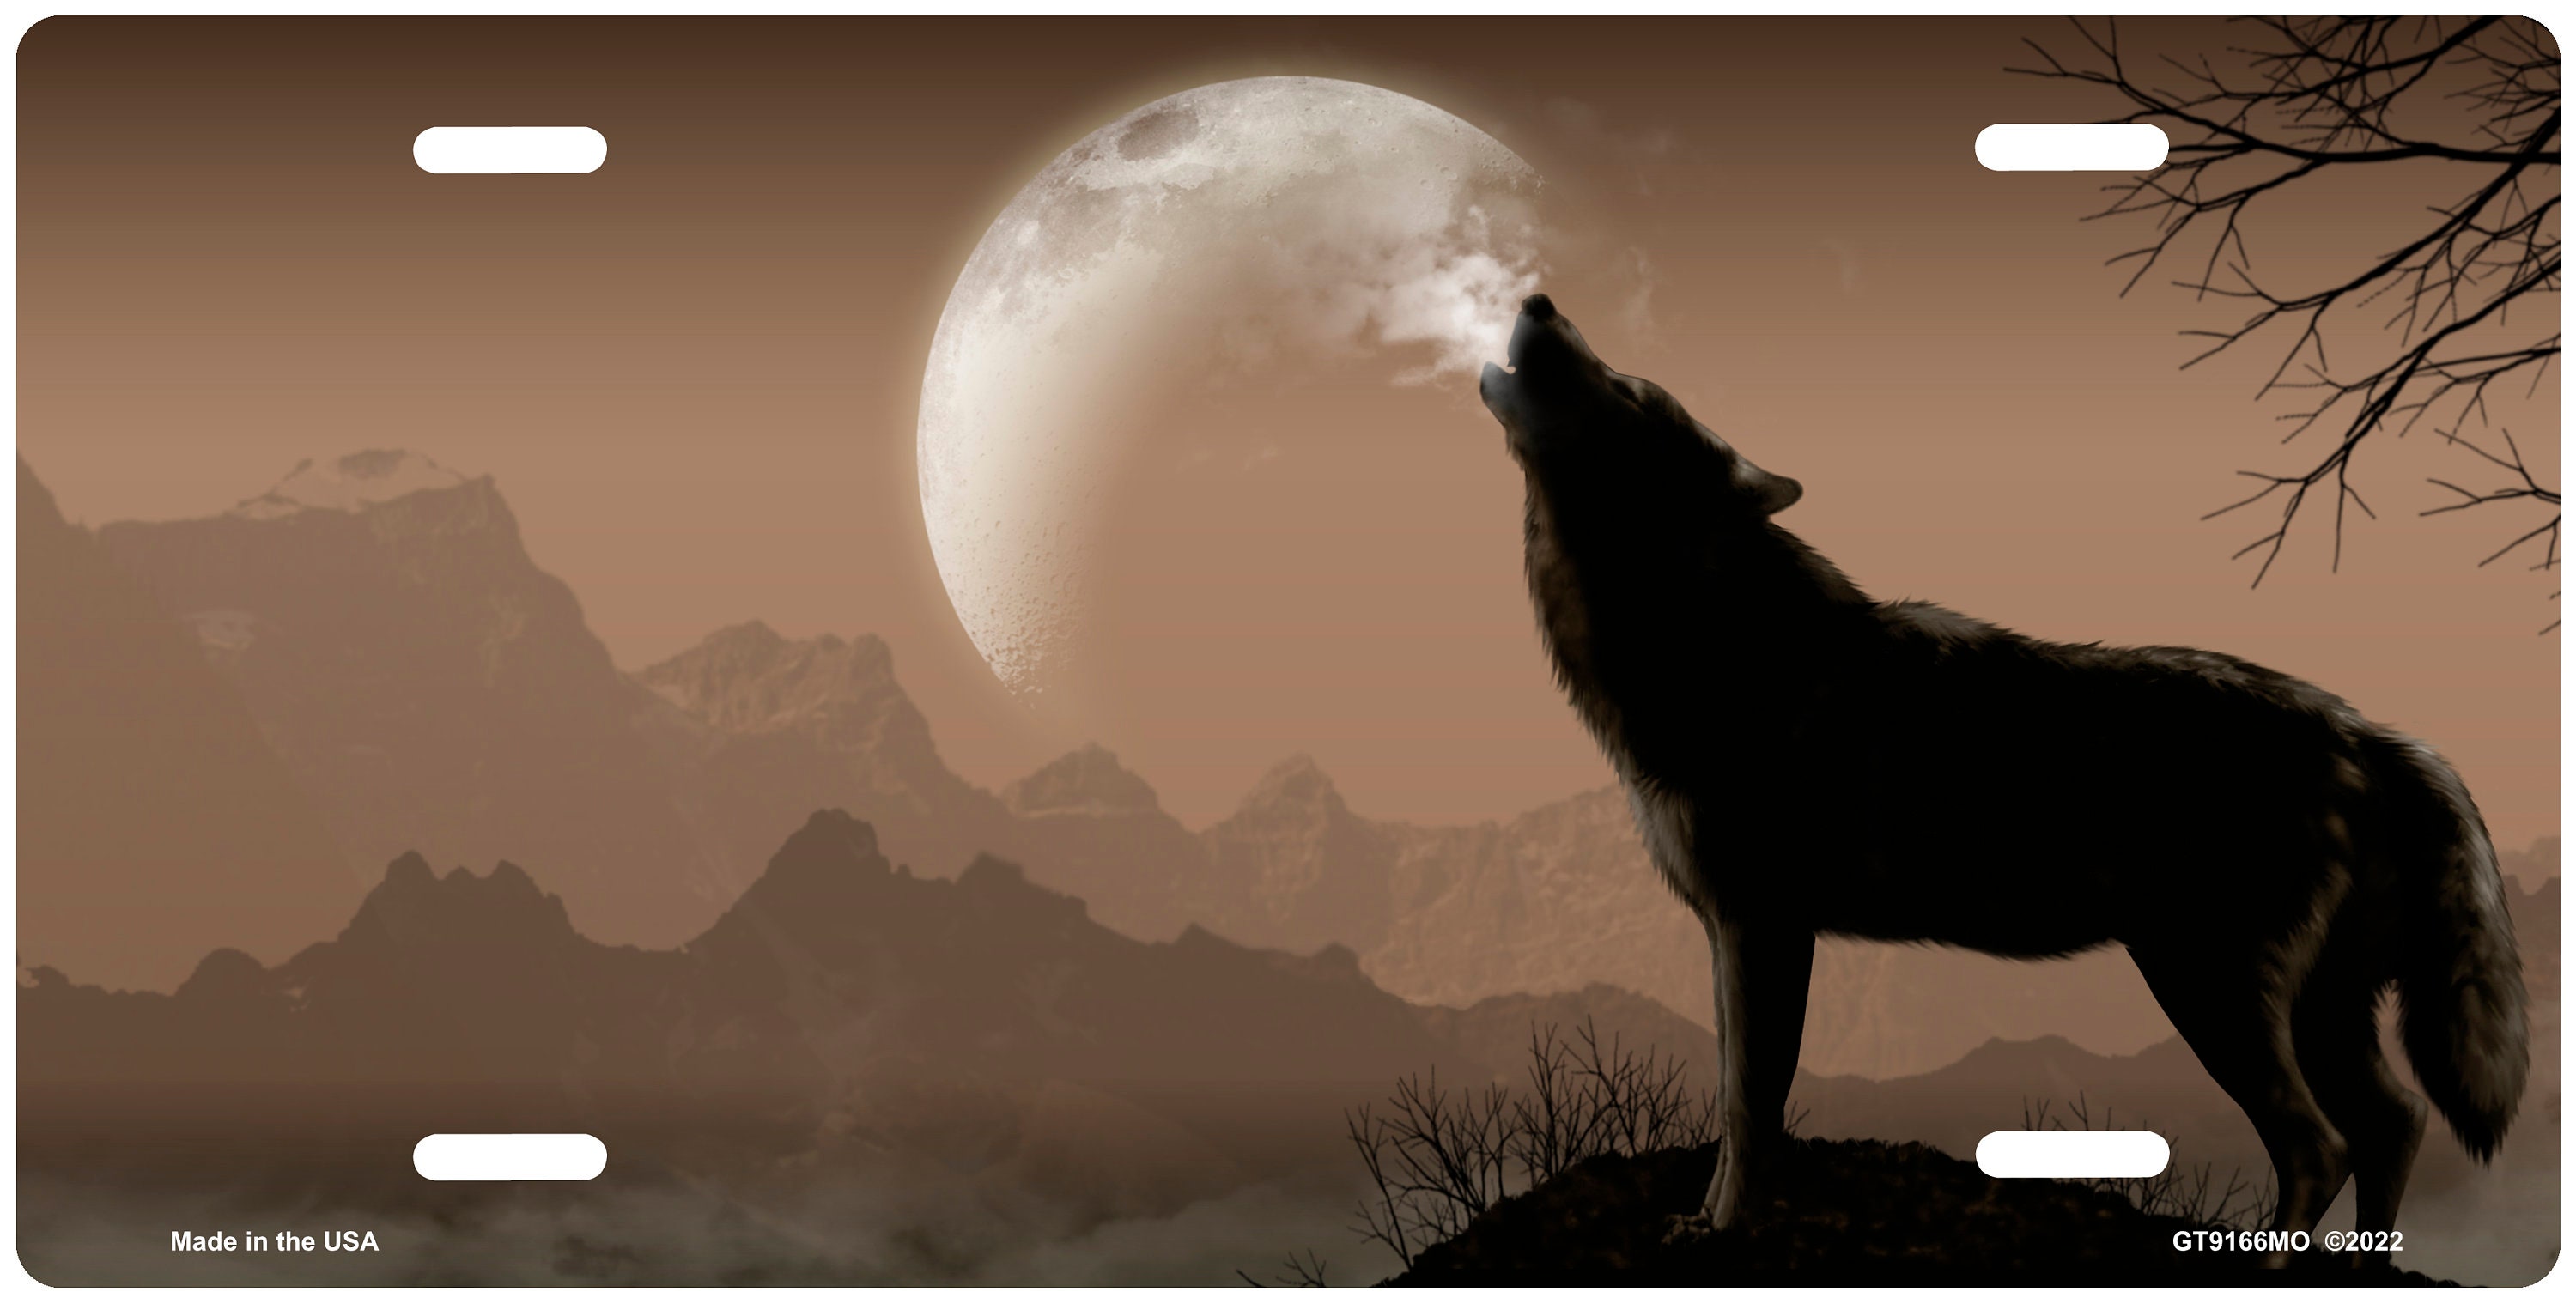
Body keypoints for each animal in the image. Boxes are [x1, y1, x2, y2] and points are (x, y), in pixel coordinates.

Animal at [1476, 294, 2528, 1254]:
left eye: (1625, 392)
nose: (1538, 299)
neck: (1702, 642)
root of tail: (2370, 730)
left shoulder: (1763, 924)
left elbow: (1749, 1108)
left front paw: (1726, 1233)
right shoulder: (1730, 930)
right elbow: (1735, 1099)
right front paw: (1702, 1219)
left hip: (2209, 987)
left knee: (2321, 1143)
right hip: (2297, 1004)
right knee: (2395, 1122)